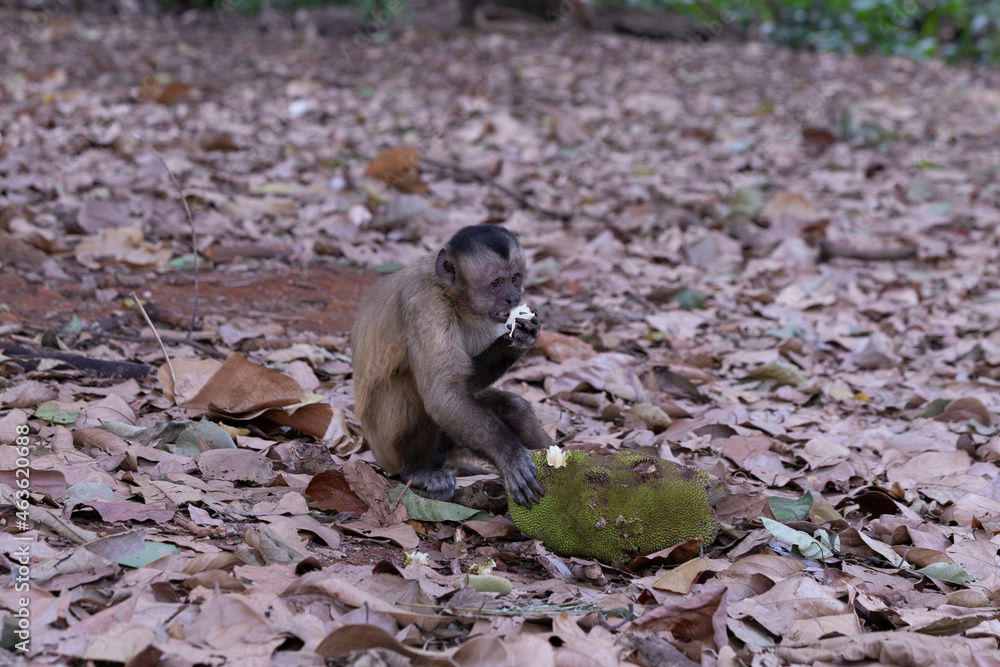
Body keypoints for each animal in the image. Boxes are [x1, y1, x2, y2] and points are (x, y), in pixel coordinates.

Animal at [351, 225, 552, 507]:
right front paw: (509, 455)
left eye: (515, 278)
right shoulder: (426, 304)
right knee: (412, 388)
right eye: (495, 283)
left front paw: (522, 337)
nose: (513, 298)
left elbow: (466, 384)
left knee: (514, 407)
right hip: (386, 450)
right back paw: (419, 471)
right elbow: (443, 393)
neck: (453, 295)